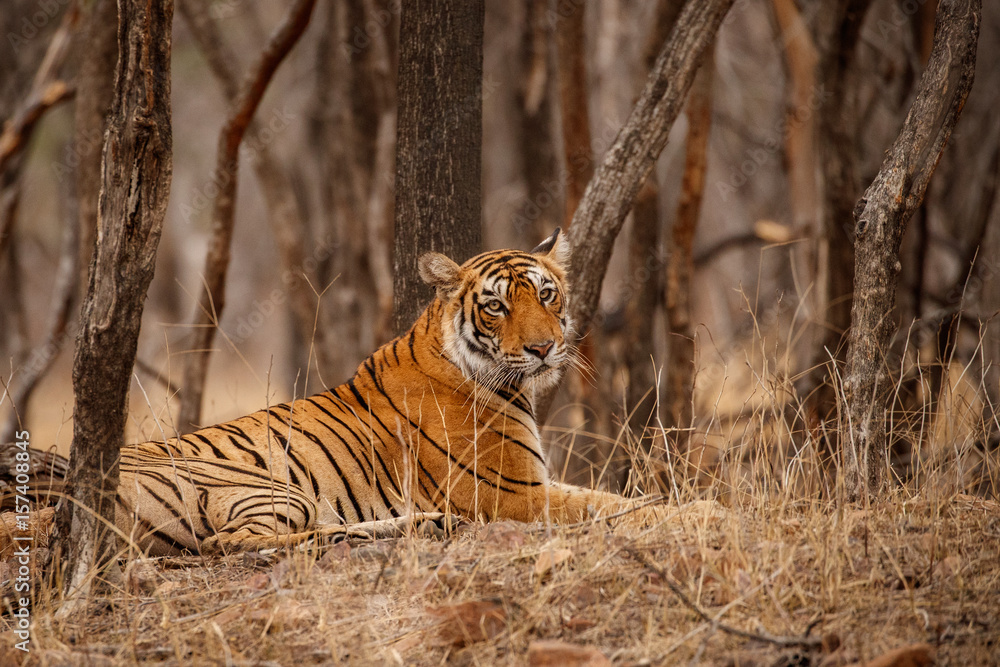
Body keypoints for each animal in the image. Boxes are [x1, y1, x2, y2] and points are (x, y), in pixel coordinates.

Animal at [117, 228, 664, 555]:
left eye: (546, 295)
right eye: (496, 306)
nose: (544, 348)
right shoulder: (513, 494)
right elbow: (616, 505)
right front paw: (685, 512)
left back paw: (424, 524)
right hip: (264, 486)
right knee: (237, 542)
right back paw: (415, 526)